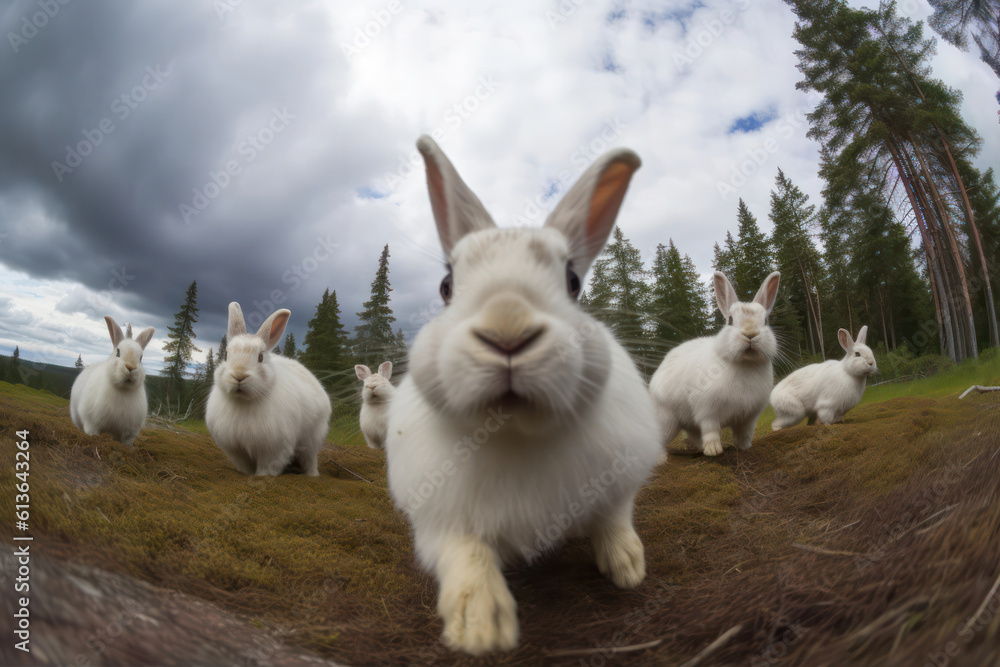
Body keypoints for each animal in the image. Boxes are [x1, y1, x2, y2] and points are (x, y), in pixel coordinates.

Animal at [70, 316, 155, 446]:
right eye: (118, 352)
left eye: (141, 358)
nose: (131, 368)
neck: (122, 388)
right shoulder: (92, 424)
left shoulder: (129, 434)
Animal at [206, 303, 332, 476]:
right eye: (225, 355)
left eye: (260, 357)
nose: (239, 375)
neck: (244, 401)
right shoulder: (237, 451)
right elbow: (246, 467)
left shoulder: (273, 450)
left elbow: (267, 468)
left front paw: (261, 476)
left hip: (311, 440)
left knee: (310, 460)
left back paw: (312, 475)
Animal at [383, 135, 662, 656]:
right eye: (446, 285)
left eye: (573, 282)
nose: (507, 329)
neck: (513, 433)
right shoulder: (438, 521)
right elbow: (465, 553)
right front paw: (481, 627)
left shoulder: (619, 480)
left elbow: (614, 518)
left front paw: (627, 567)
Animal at [648, 270, 780, 457]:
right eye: (730, 320)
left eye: (766, 320)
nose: (750, 334)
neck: (744, 363)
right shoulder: (707, 411)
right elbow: (711, 431)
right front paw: (714, 450)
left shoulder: (748, 418)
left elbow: (744, 433)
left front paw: (745, 447)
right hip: (667, 419)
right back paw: (661, 459)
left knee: (693, 433)